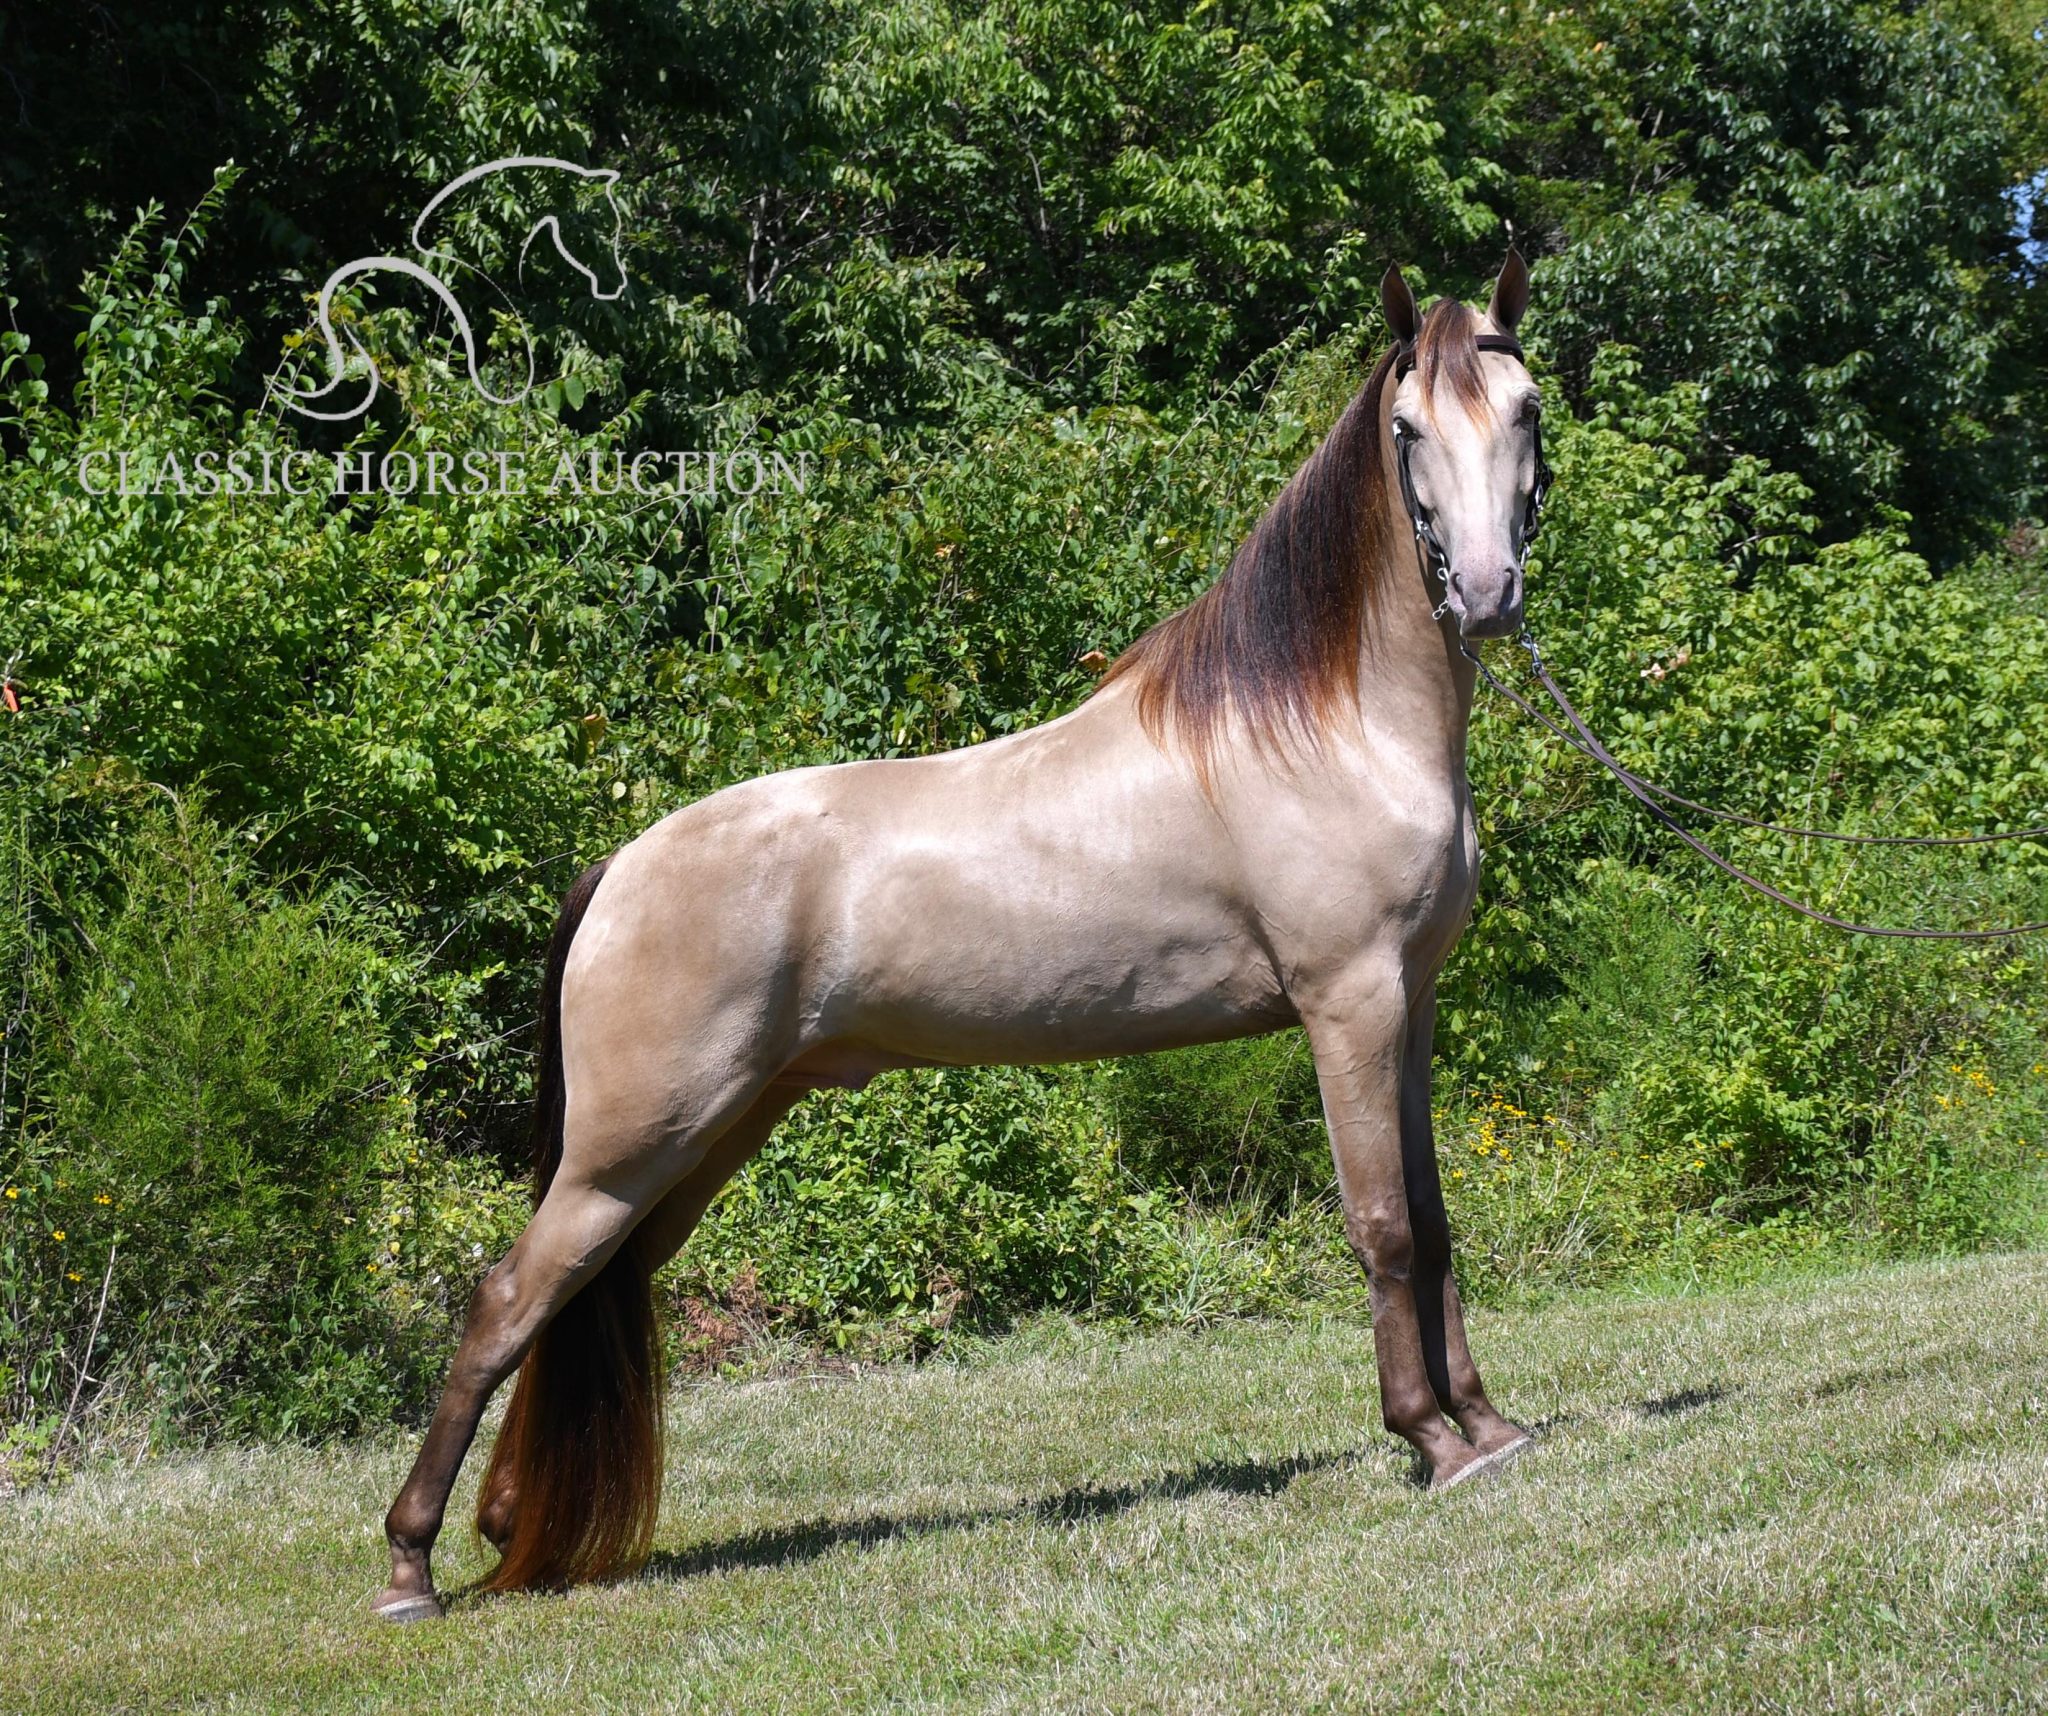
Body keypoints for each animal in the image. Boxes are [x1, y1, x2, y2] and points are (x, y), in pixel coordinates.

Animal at [373, 250, 1548, 1621]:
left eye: (1524, 411)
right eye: (1407, 430)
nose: (1485, 592)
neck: (1323, 727)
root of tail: (623, 864)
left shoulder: (1409, 1009)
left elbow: (1434, 1219)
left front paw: (1487, 1427)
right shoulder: (1345, 1004)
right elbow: (1382, 1225)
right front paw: (1426, 1439)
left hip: (711, 1130)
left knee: (588, 1289)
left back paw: (505, 1526)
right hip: (633, 1141)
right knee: (510, 1294)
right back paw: (407, 1565)